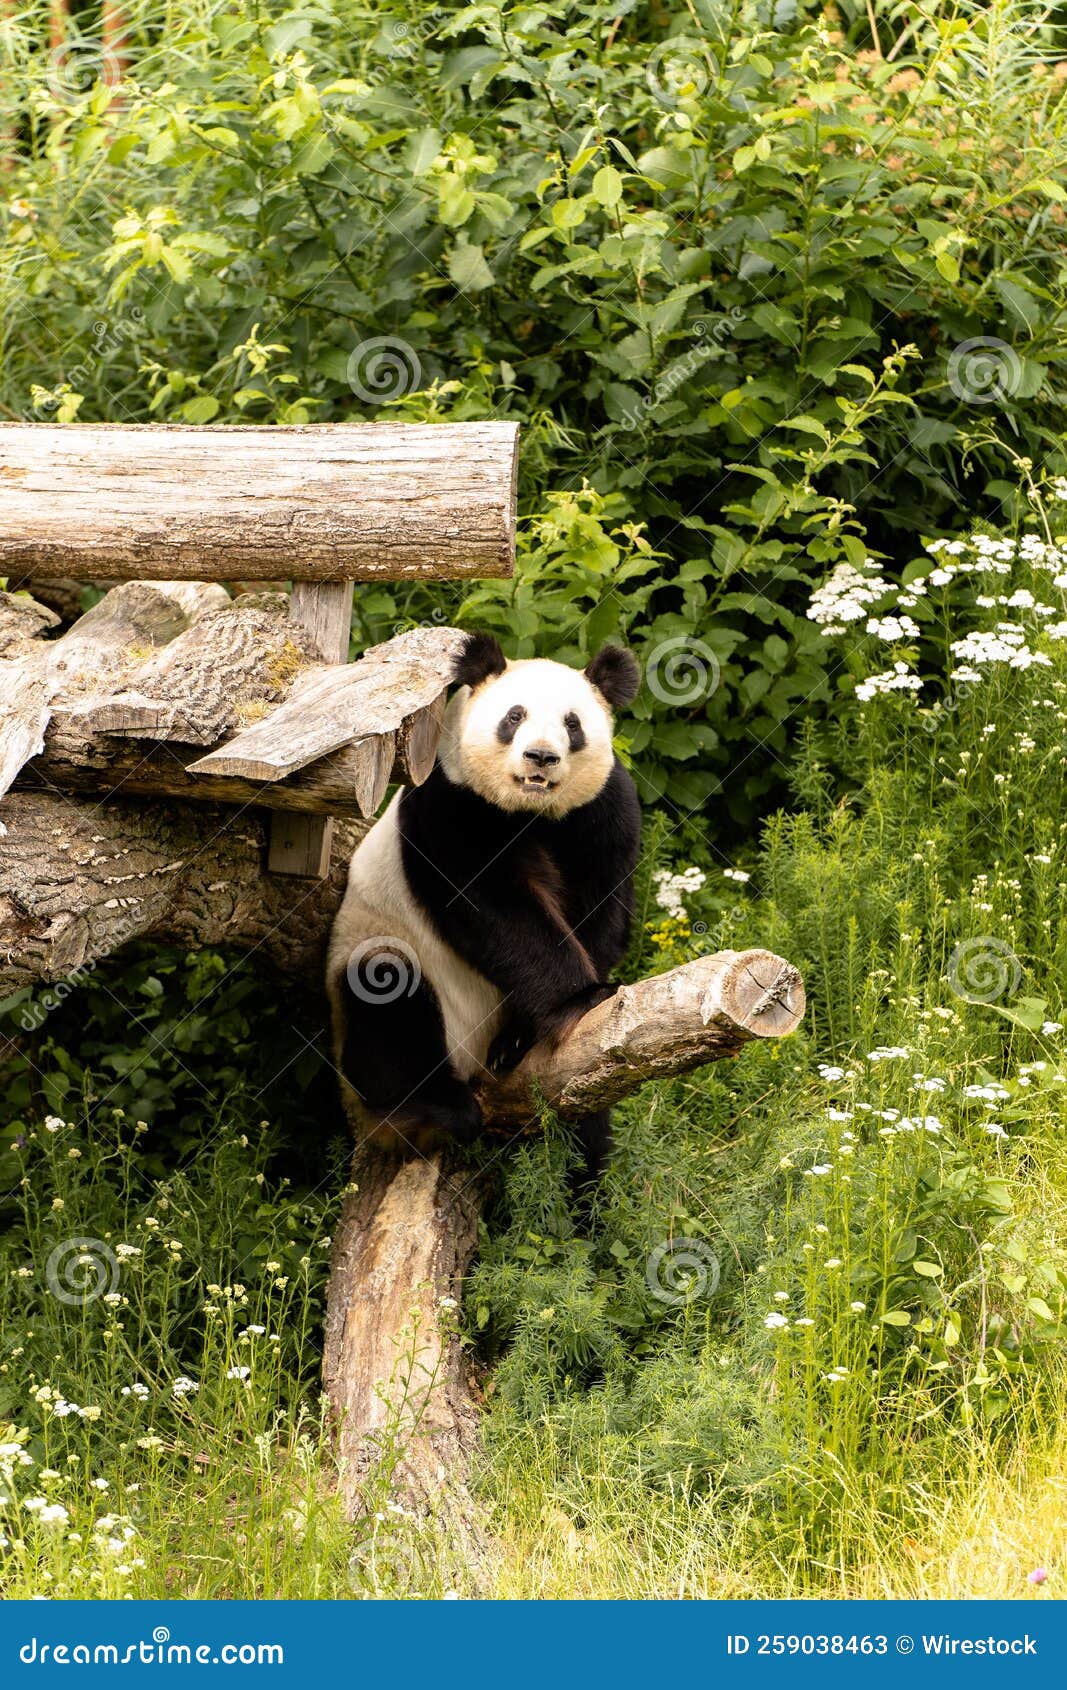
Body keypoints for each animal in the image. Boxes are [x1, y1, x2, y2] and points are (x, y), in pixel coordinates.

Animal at [326, 631, 642, 1178]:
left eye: (572, 723)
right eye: (513, 716)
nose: (540, 757)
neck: (532, 813)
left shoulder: (598, 812)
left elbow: (599, 912)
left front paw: (524, 1033)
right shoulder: (454, 806)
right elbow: (499, 915)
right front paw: (580, 999)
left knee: (587, 1132)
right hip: (378, 963)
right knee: (384, 998)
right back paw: (439, 1107)